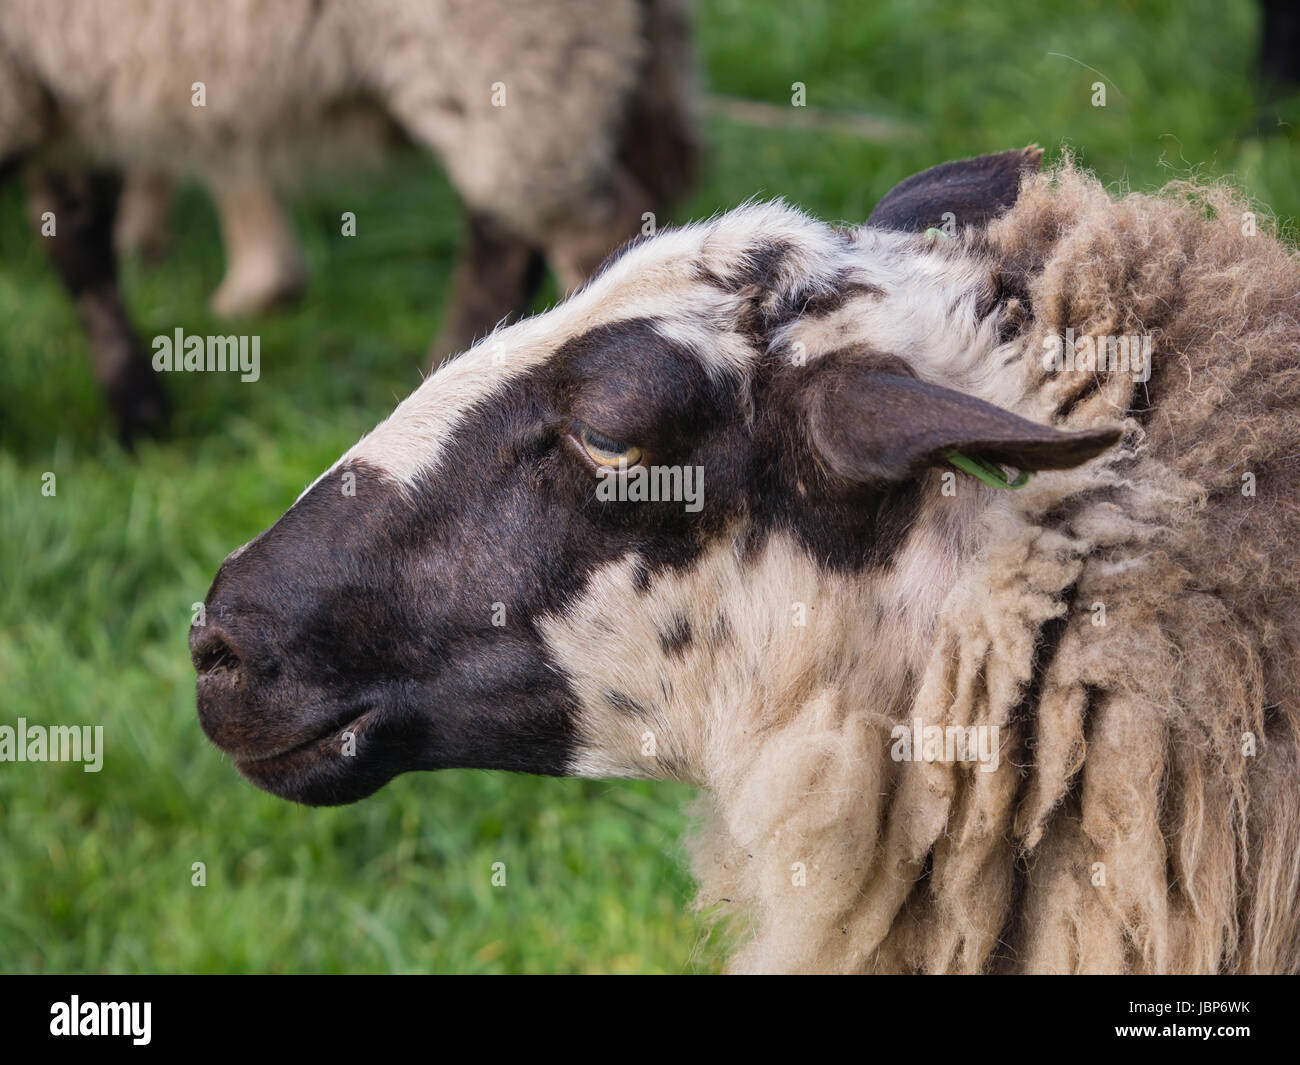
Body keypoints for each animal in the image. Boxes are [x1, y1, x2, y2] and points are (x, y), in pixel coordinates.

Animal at [0, 0, 697, 442]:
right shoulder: (64, 91)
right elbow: (77, 237)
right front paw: (138, 412)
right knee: (509, 231)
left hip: (514, 53)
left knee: (583, 234)